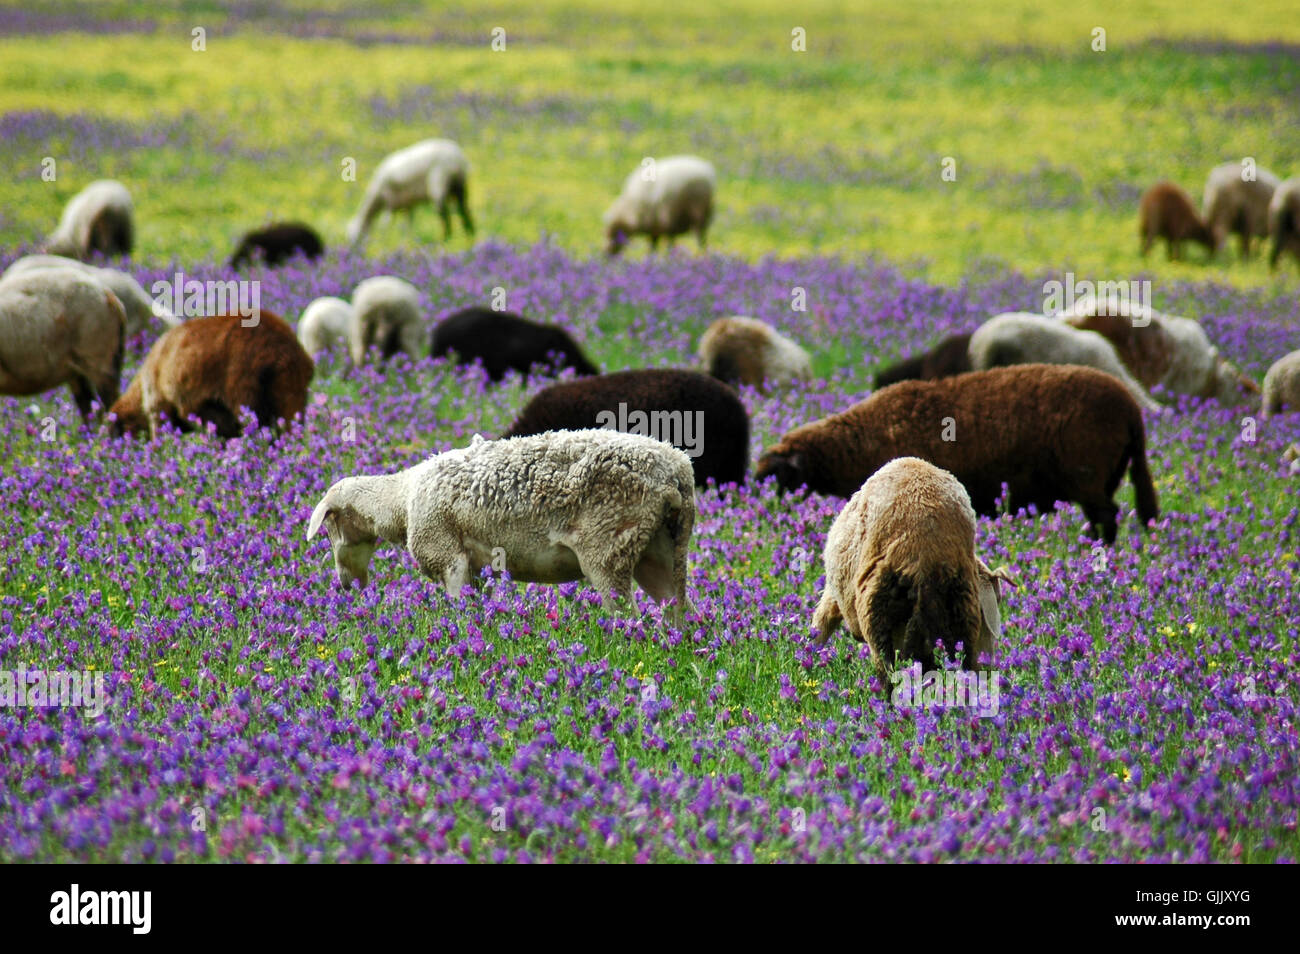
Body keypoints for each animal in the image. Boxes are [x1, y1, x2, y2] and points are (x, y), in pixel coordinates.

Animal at [306, 429, 698, 623]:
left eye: (330, 529)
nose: (347, 586)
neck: (402, 501)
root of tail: (676, 468)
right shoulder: (473, 568)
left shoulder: (448, 557)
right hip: (661, 549)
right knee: (682, 615)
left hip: (608, 546)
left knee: (631, 620)